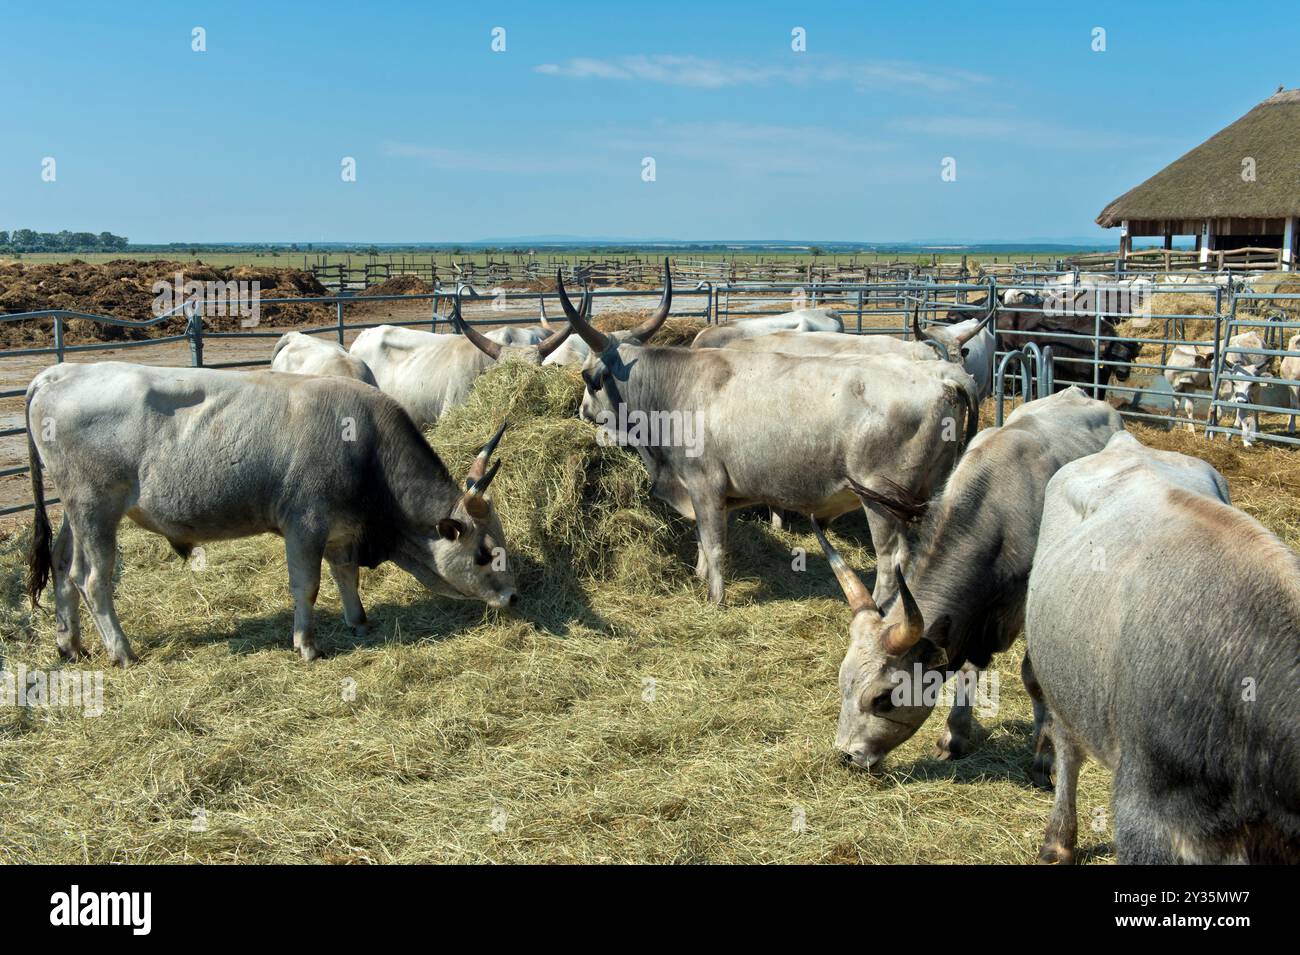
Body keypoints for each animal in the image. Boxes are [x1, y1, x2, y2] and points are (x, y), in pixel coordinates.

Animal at [24, 362, 516, 665]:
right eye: (483, 553)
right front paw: (307, 645)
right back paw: (122, 651)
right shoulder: (305, 525)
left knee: (63, 566)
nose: (513, 597)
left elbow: (346, 575)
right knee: (92, 579)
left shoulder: (342, 530)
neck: (367, 443)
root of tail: (57, 372)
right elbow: (308, 586)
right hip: (95, 508)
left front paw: (358, 621)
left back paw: (70, 644)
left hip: (74, 510)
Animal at [809, 387, 1123, 771]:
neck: (999, 511)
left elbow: (1032, 677)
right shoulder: (972, 620)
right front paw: (955, 735)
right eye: (843, 681)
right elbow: (969, 669)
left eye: (883, 698)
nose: (846, 755)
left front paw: (1045, 752)